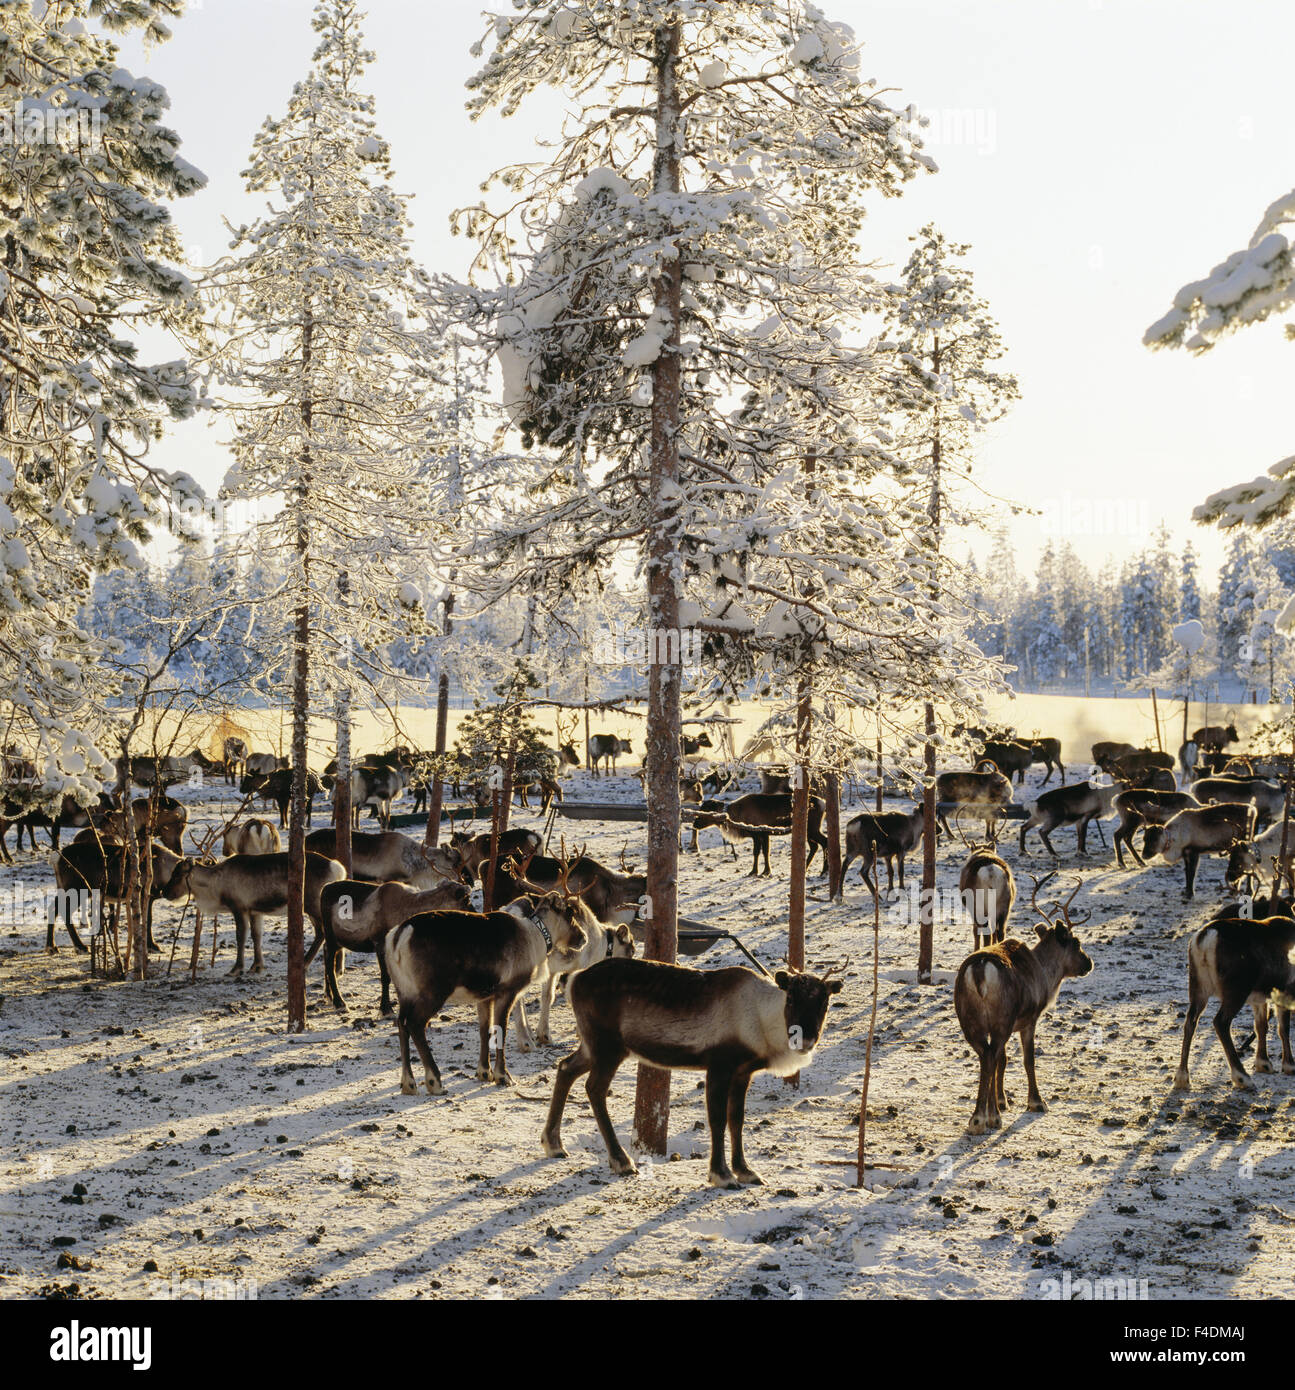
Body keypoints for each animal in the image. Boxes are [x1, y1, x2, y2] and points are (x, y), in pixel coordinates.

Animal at [383, 891, 597, 1094]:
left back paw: (408, 1083)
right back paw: (434, 1081)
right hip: (433, 992)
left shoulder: (484, 997)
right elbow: (501, 1028)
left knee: (401, 1024)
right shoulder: (506, 991)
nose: (583, 938)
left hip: (405, 992)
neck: (535, 937)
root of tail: (399, 935)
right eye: (569, 913)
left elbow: (484, 1030)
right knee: (415, 1024)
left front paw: (484, 1072)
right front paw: (503, 1076)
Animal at [540, 958, 845, 1188]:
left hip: (592, 1046)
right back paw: (622, 1161)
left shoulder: (742, 1073)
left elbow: (737, 1120)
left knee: (565, 1068)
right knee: (594, 1088)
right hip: (608, 1048)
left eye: (824, 1002)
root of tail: (575, 979)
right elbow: (718, 1120)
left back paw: (553, 1144)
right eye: (791, 997)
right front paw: (722, 1175)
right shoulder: (719, 1067)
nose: (804, 1040)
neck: (763, 1019)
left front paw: (745, 1171)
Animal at [953, 874, 1094, 1135]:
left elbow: (1004, 1059)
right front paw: (1037, 1101)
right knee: (990, 1056)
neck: (1047, 974)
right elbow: (1028, 1060)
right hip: (1002, 1019)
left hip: (970, 1021)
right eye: (1076, 942)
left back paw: (980, 1117)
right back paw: (987, 1118)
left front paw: (1001, 1100)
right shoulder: (1029, 1019)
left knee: (986, 1056)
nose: (1089, 963)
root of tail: (979, 971)